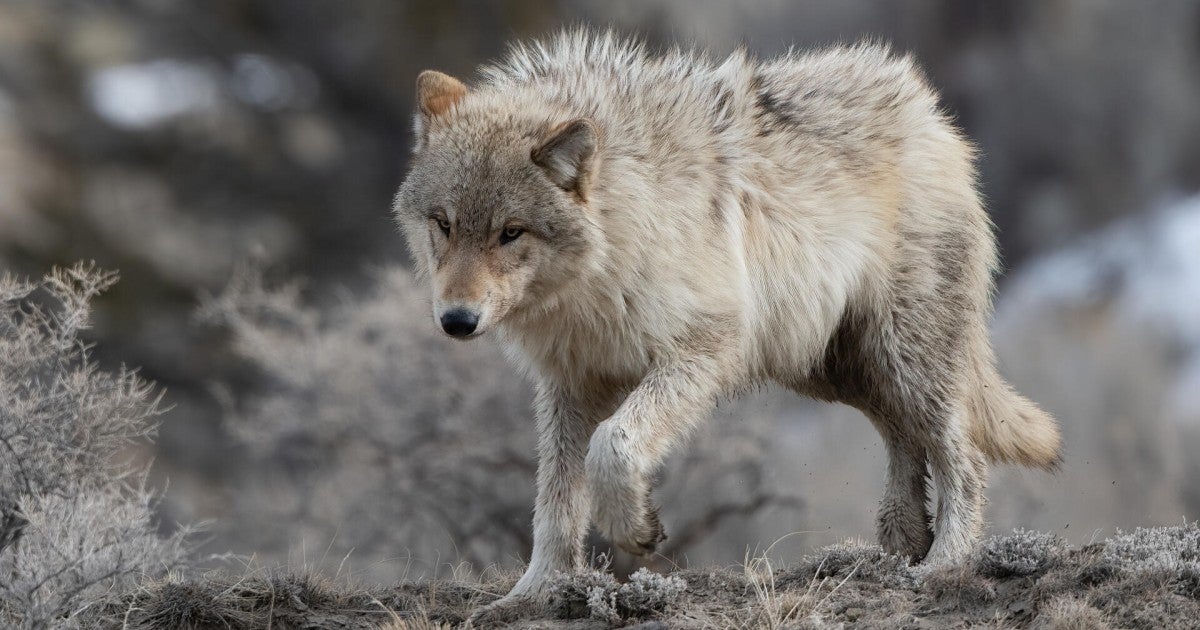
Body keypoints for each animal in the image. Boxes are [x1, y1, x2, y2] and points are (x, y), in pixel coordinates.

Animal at [392, 29, 1062, 606]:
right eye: (444, 223)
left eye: (510, 233)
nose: (456, 320)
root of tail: (932, 114)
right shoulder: (570, 385)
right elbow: (554, 502)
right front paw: (533, 594)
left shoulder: (702, 350)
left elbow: (614, 447)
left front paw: (635, 529)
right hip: (834, 367)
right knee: (902, 433)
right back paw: (902, 545)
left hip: (903, 356)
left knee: (962, 453)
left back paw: (944, 564)